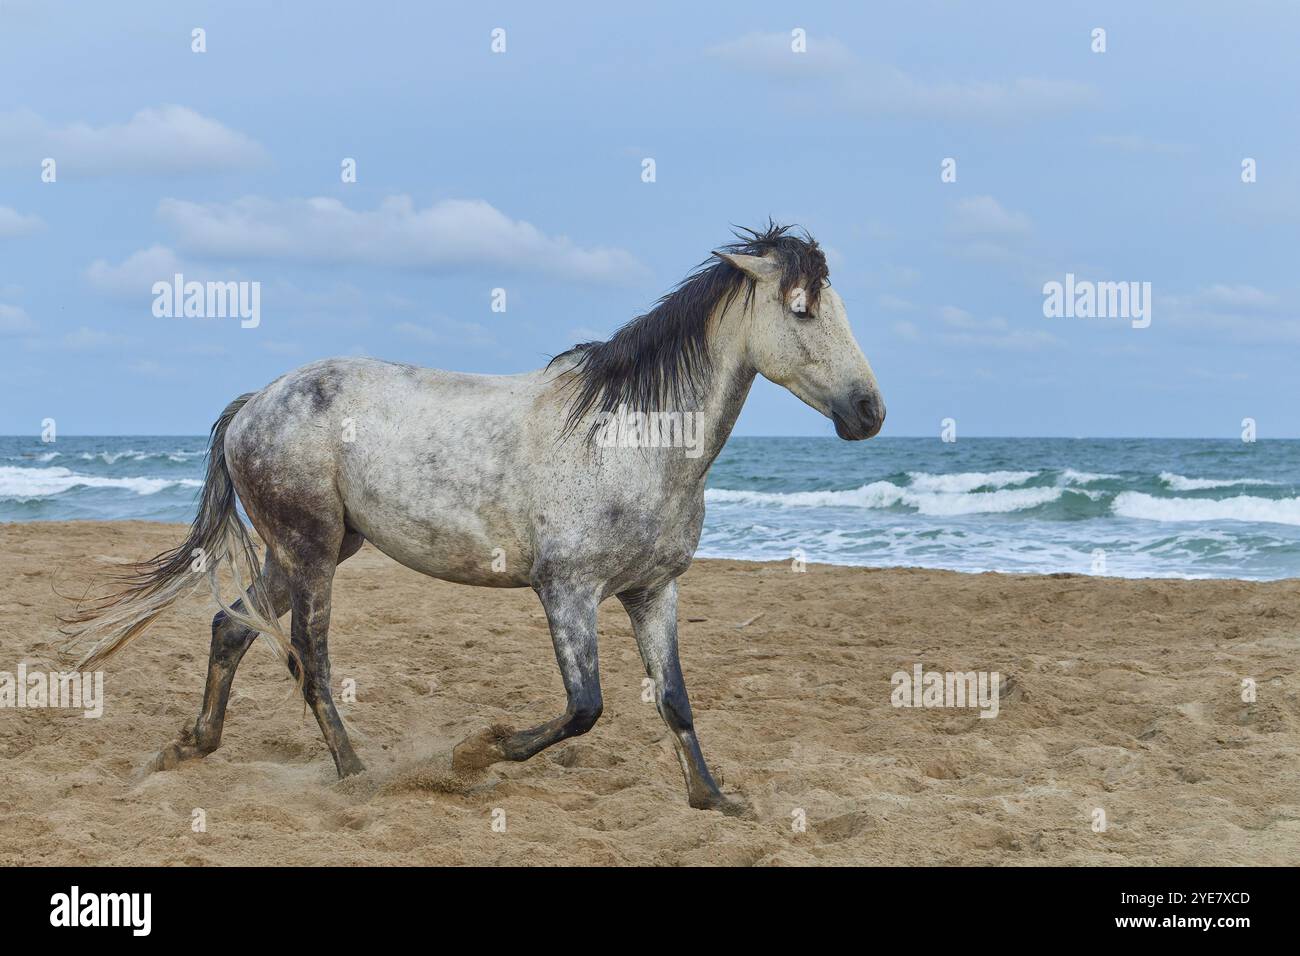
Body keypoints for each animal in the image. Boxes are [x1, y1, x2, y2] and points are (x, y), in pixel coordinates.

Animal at [64, 223, 885, 814]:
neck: (628, 436)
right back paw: (357, 774)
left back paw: (187, 747)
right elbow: (585, 708)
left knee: (232, 626)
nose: (869, 413)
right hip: (311, 554)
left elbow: (674, 701)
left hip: (307, 551)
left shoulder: (653, 591)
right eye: (801, 308)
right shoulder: (567, 592)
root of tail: (254, 403)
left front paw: (714, 800)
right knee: (309, 660)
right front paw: (478, 753)